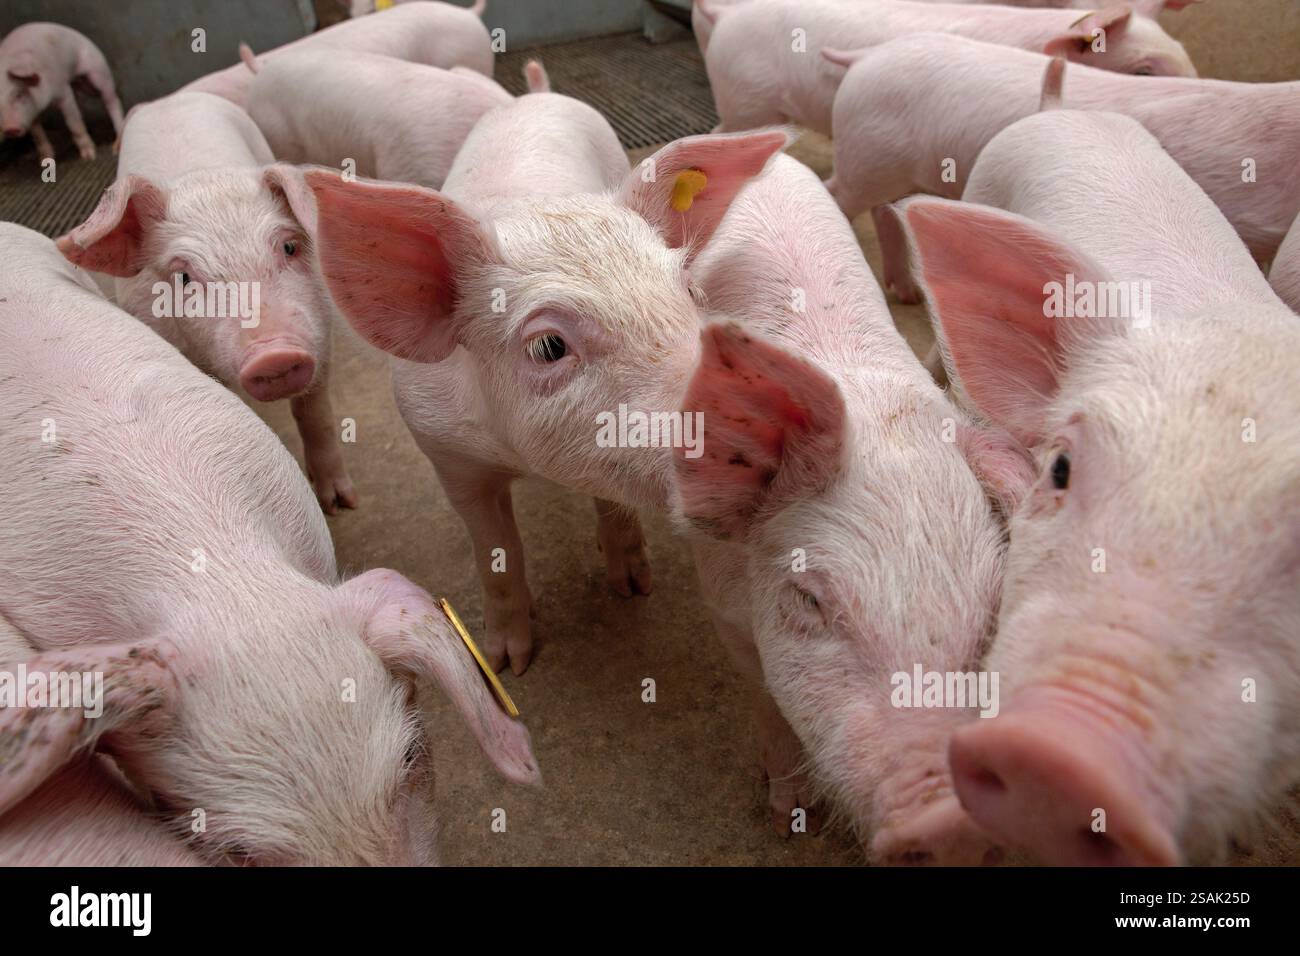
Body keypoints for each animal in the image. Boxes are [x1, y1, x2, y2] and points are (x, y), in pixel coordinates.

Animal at [0, 22, 125, 162]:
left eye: (19, 94)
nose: (10, 129)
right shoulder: (31, 113)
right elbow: (38, 135)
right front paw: (45, 159)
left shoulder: (63, 91)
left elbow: (74, 125)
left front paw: (89, 156)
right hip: (79, 86)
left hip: (99, 71)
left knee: (111, 99)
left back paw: (116, 146)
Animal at [57, 90, 356, 513]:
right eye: (183, 277)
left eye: (290, 247)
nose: (275, 354)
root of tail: (171, 97)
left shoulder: (320, 331)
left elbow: (315, 412)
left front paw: (340, 504)